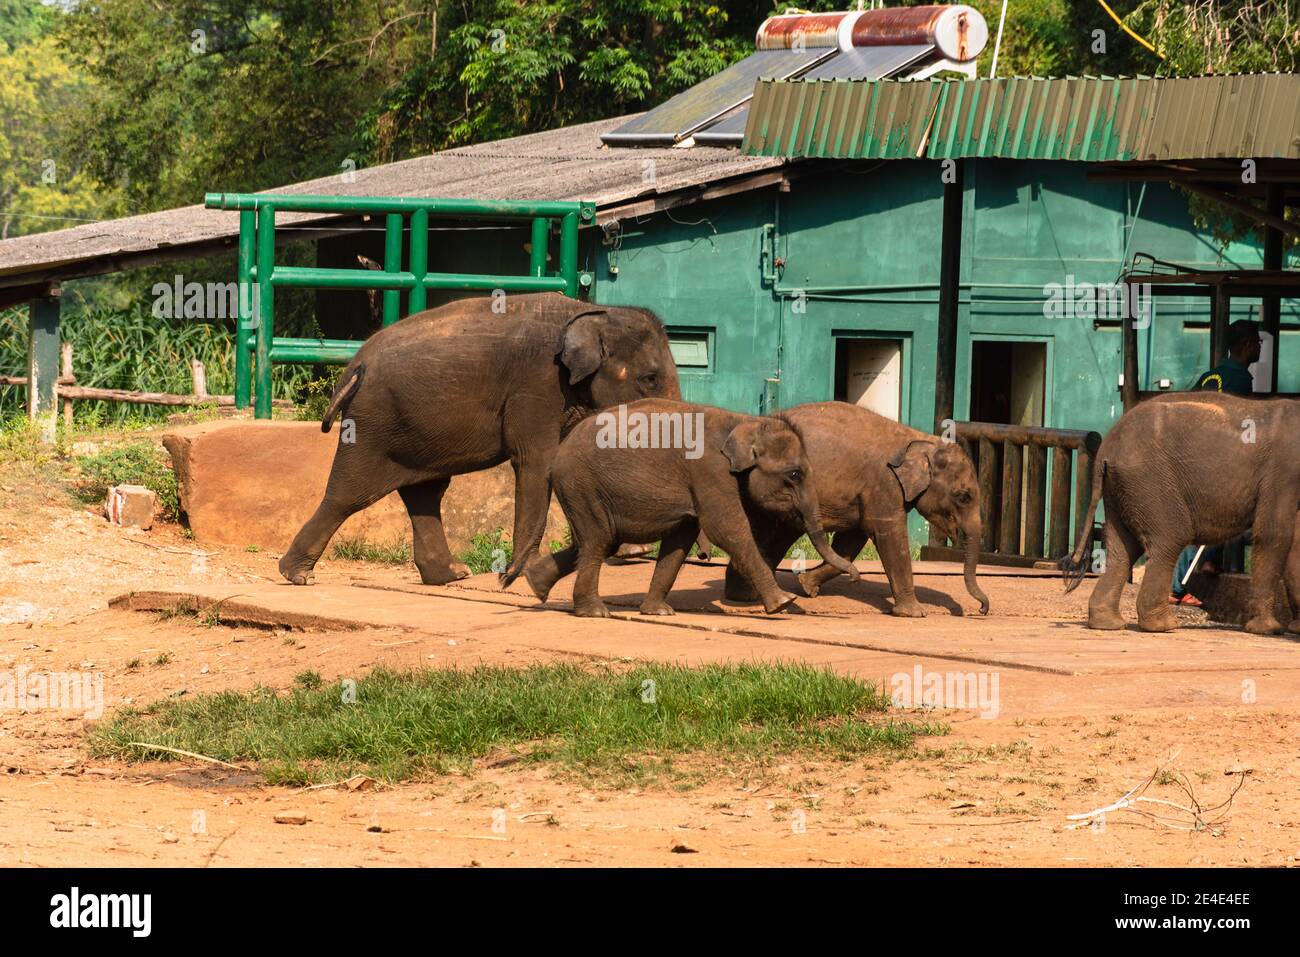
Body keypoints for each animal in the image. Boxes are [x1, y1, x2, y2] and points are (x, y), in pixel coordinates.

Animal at [279, 293, 681, 587]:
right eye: (650, 379)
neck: (592, 311)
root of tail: (354, 364)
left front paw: (630, 553)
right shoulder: (537, 385)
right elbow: (536, 462)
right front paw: (524, 572)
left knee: (425, 492)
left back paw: (451, 576)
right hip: (372, 422)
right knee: (350, 495)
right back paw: (298, 575)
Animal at [500, 398, 860, 617]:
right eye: (794, 475)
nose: (856, 577)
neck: (744, 421)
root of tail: (555, 458)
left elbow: (681, 538)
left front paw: (658, 613)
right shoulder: (709, 471)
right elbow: (727, 529)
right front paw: (784, 604)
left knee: (599, 540)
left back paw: (536, 585)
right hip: (582, 485)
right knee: (598, 540)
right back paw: (594, 612)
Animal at [721, 402, 990, 616]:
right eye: (963, 497)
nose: (981, 610)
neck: (921, 439)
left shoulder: (864, 495)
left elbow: (852, 539)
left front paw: (807, 585)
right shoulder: (884, 484)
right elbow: (890, 537)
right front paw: (915, 614)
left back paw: (746, 594)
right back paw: (746, 596)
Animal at [1064, 391, 1300, 635]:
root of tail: (1106, 449)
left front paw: (1294, 628)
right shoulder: (1284, 470)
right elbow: (1275, 533)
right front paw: (1269, 629)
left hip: (1119, 488)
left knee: (1123, 549)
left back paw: (1109, 624)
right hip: (1148, 480)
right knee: (1170, 538)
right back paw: (1163, 625)